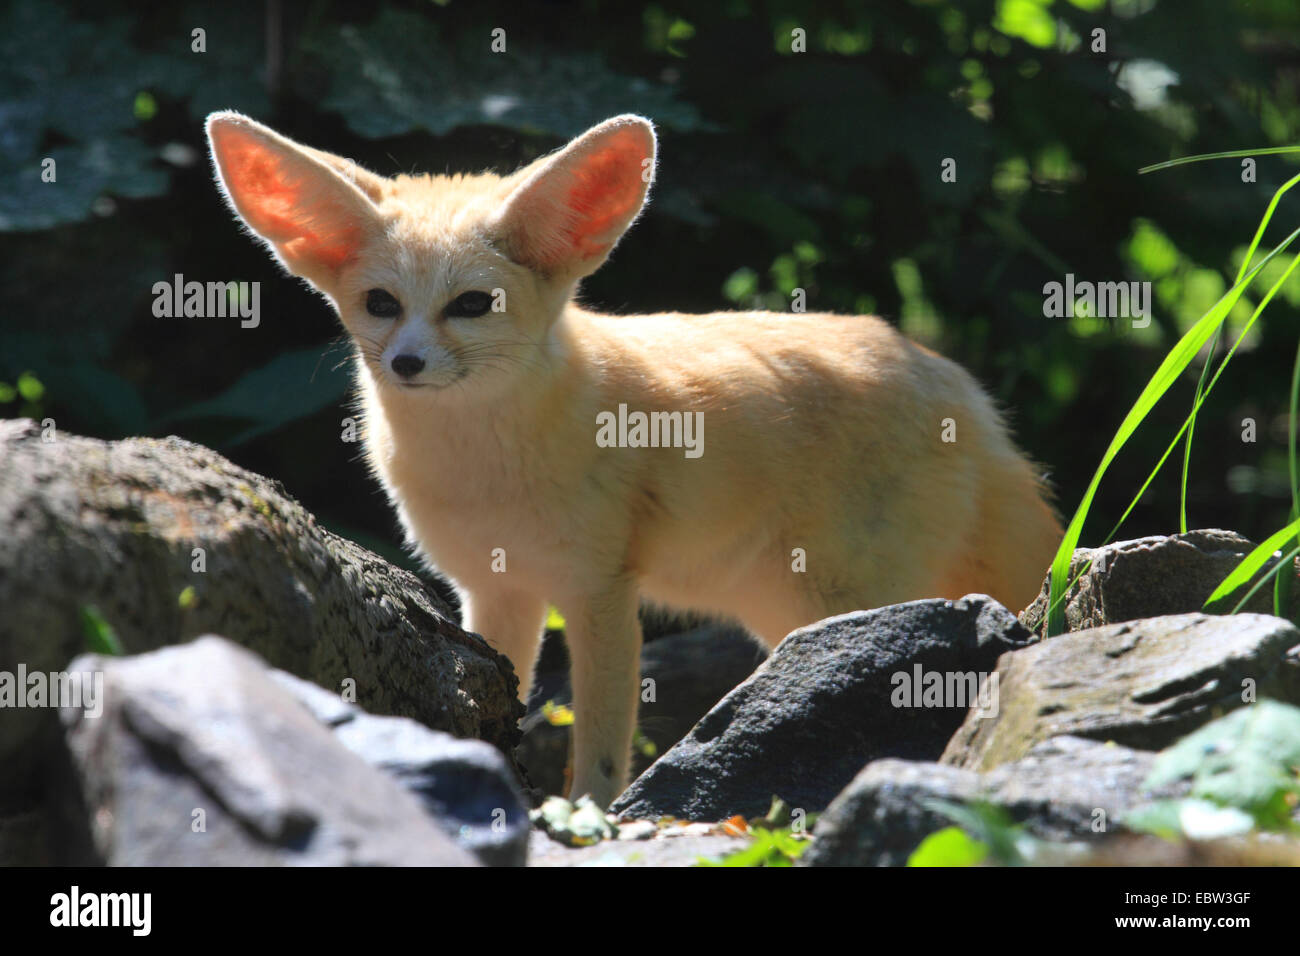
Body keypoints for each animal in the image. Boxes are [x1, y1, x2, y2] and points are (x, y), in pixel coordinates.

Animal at [205, 111, 1061, 809]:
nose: (406, 364)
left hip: (850, 598)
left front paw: (590, 816)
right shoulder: (494, 591)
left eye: (472, 306)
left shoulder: (600, 591)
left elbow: (600, 741)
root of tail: (956, 385)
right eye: (381, 305)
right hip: (782, 610)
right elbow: (496, 708)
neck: (484, 465)